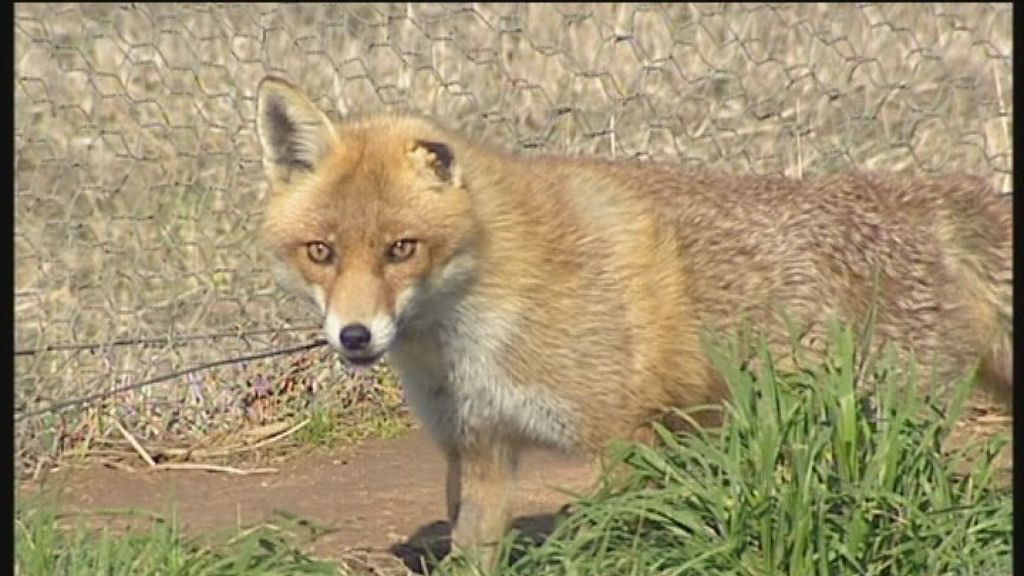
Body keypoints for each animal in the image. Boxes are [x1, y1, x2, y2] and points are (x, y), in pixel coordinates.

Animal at [254, 76, 1013, 565]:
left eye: (401, 249)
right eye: (321, 252)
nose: (354, 337)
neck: (476, 334)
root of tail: (917, 197)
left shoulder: (631, 440)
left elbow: (612, 544)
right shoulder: (480, 451)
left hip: (878, 432)